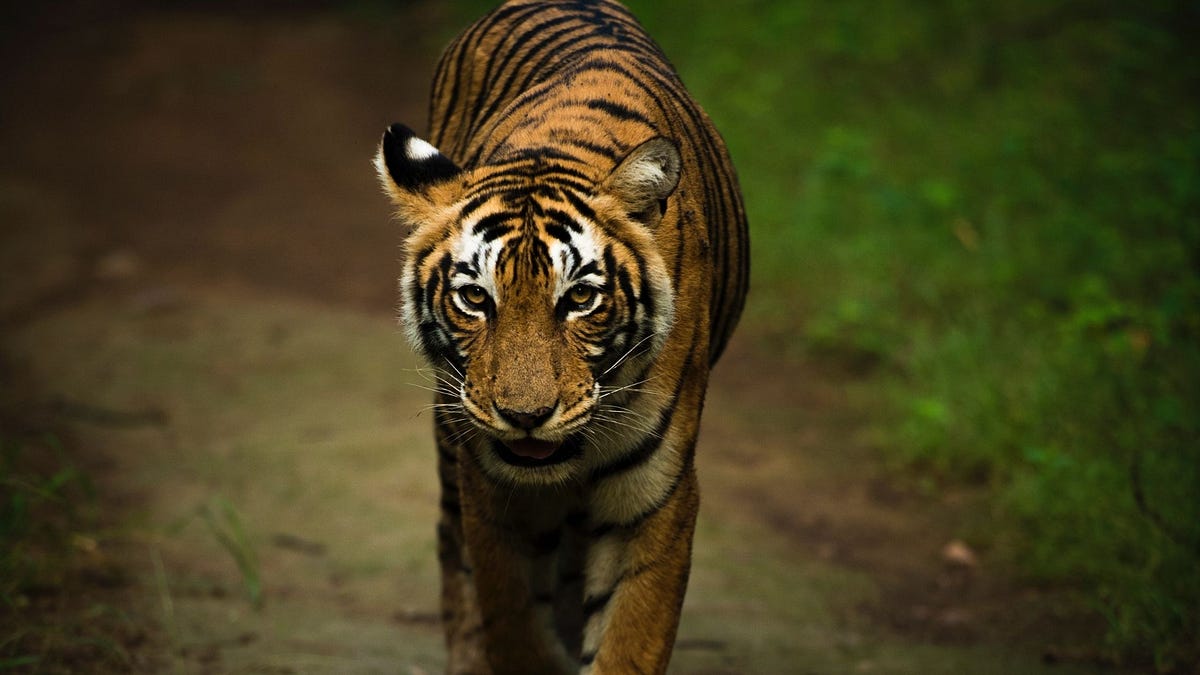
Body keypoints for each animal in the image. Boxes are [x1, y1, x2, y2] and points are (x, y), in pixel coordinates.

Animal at [375, 1, 748, 672]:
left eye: (579, 299)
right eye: (476, 299)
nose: (525, 416)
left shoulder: (653, 497)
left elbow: (628, 641)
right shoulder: (492, 490)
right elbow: (515, 624)